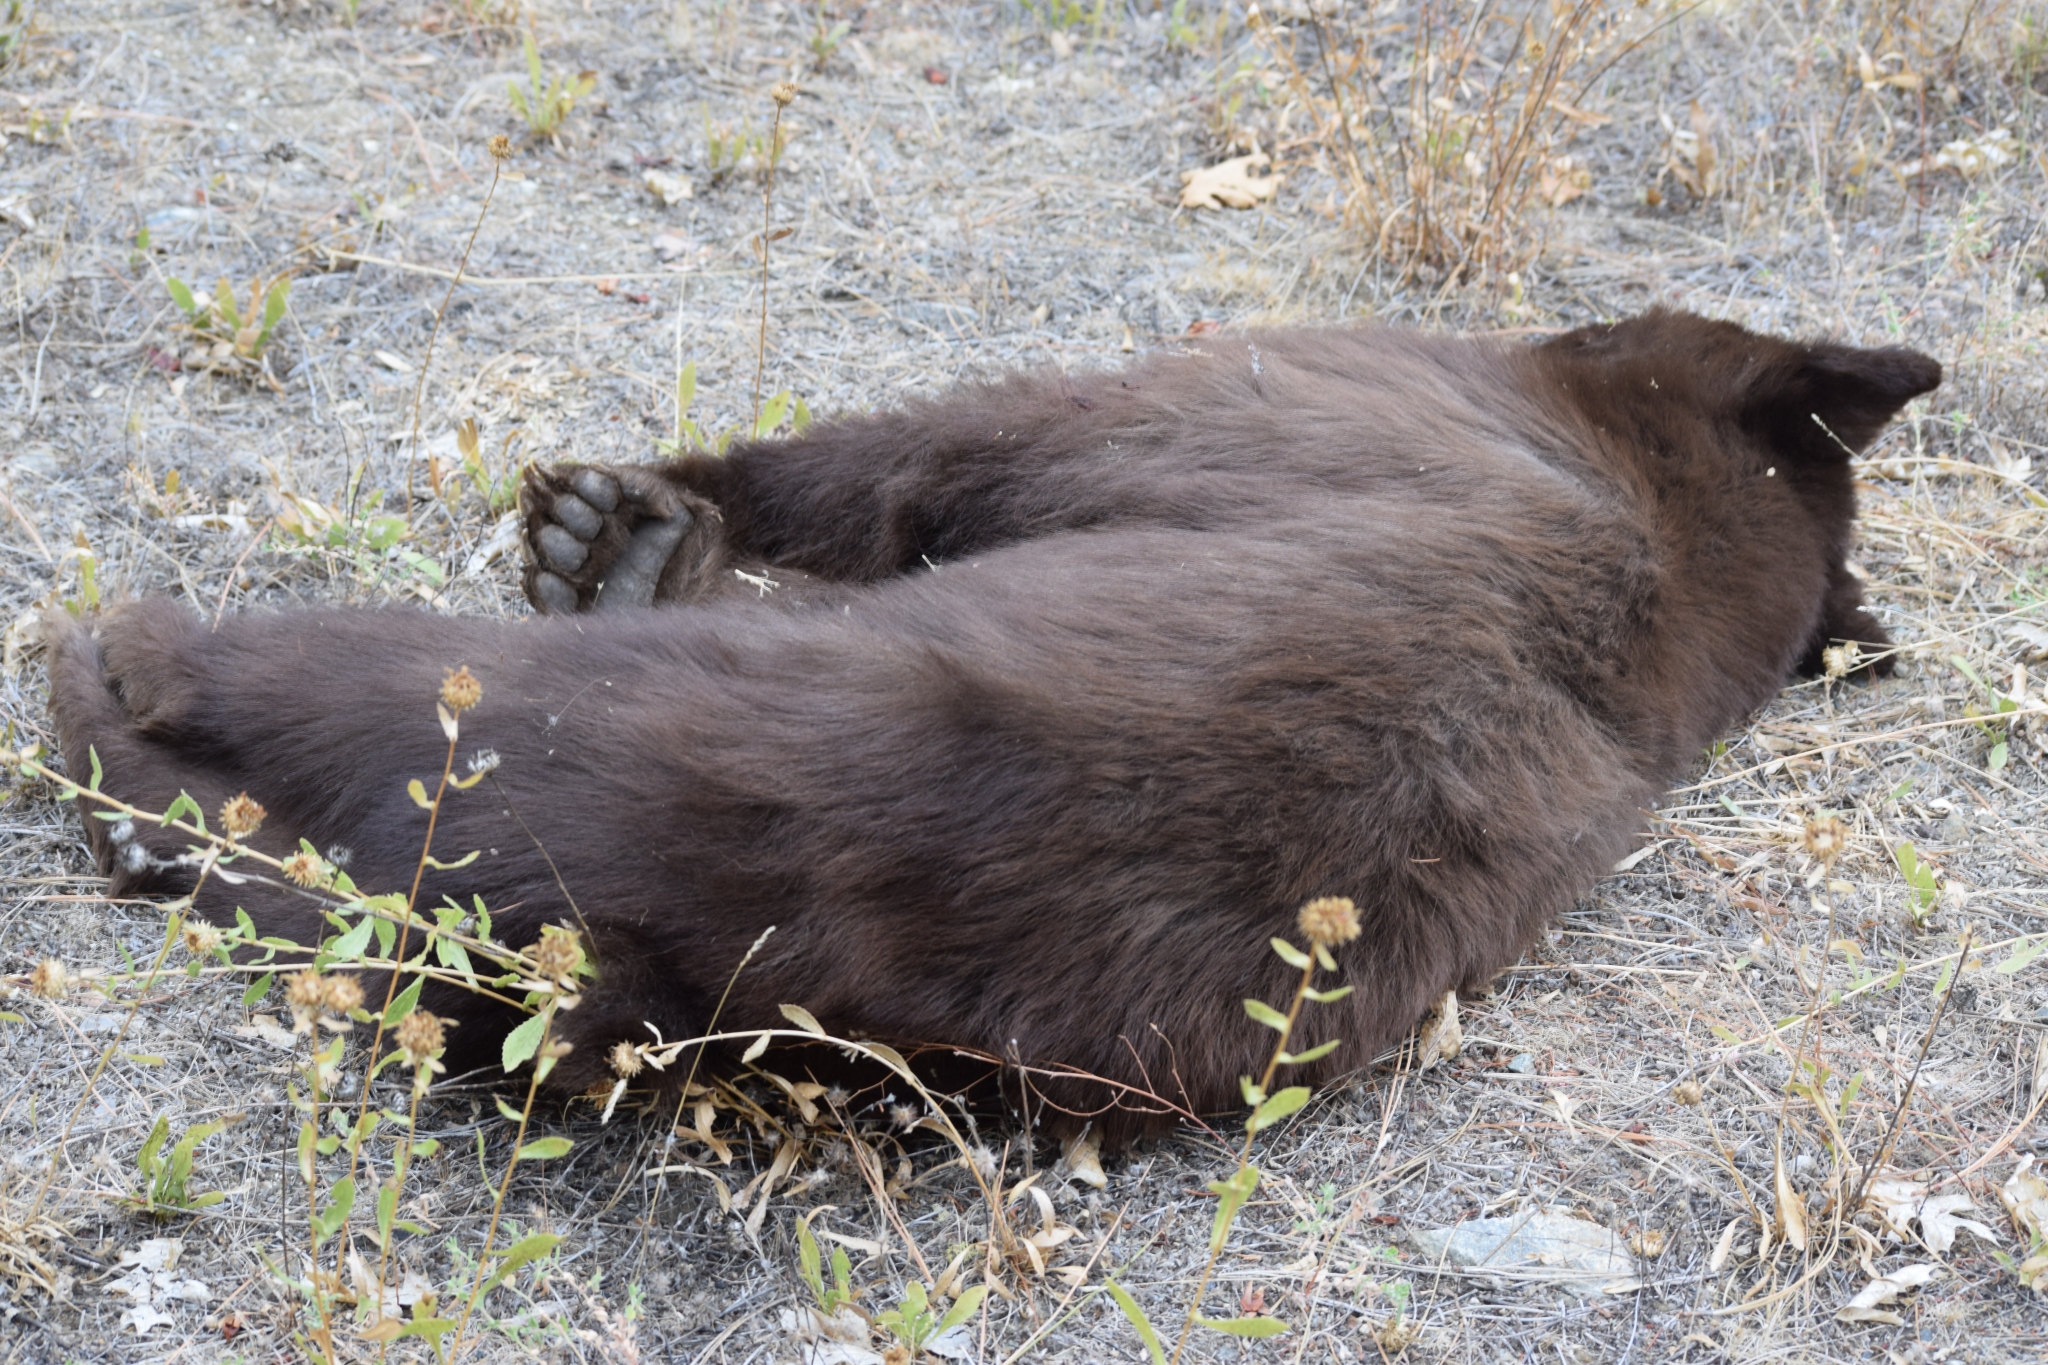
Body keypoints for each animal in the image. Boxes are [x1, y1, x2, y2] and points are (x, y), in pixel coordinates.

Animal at [41, 309, 1938, 1145]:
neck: (1657, 521)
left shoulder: (1157, 407)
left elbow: (877, 462)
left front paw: (644, 510)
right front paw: (626, 529)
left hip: (558, 715)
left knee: (273, 706)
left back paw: (123, 693)